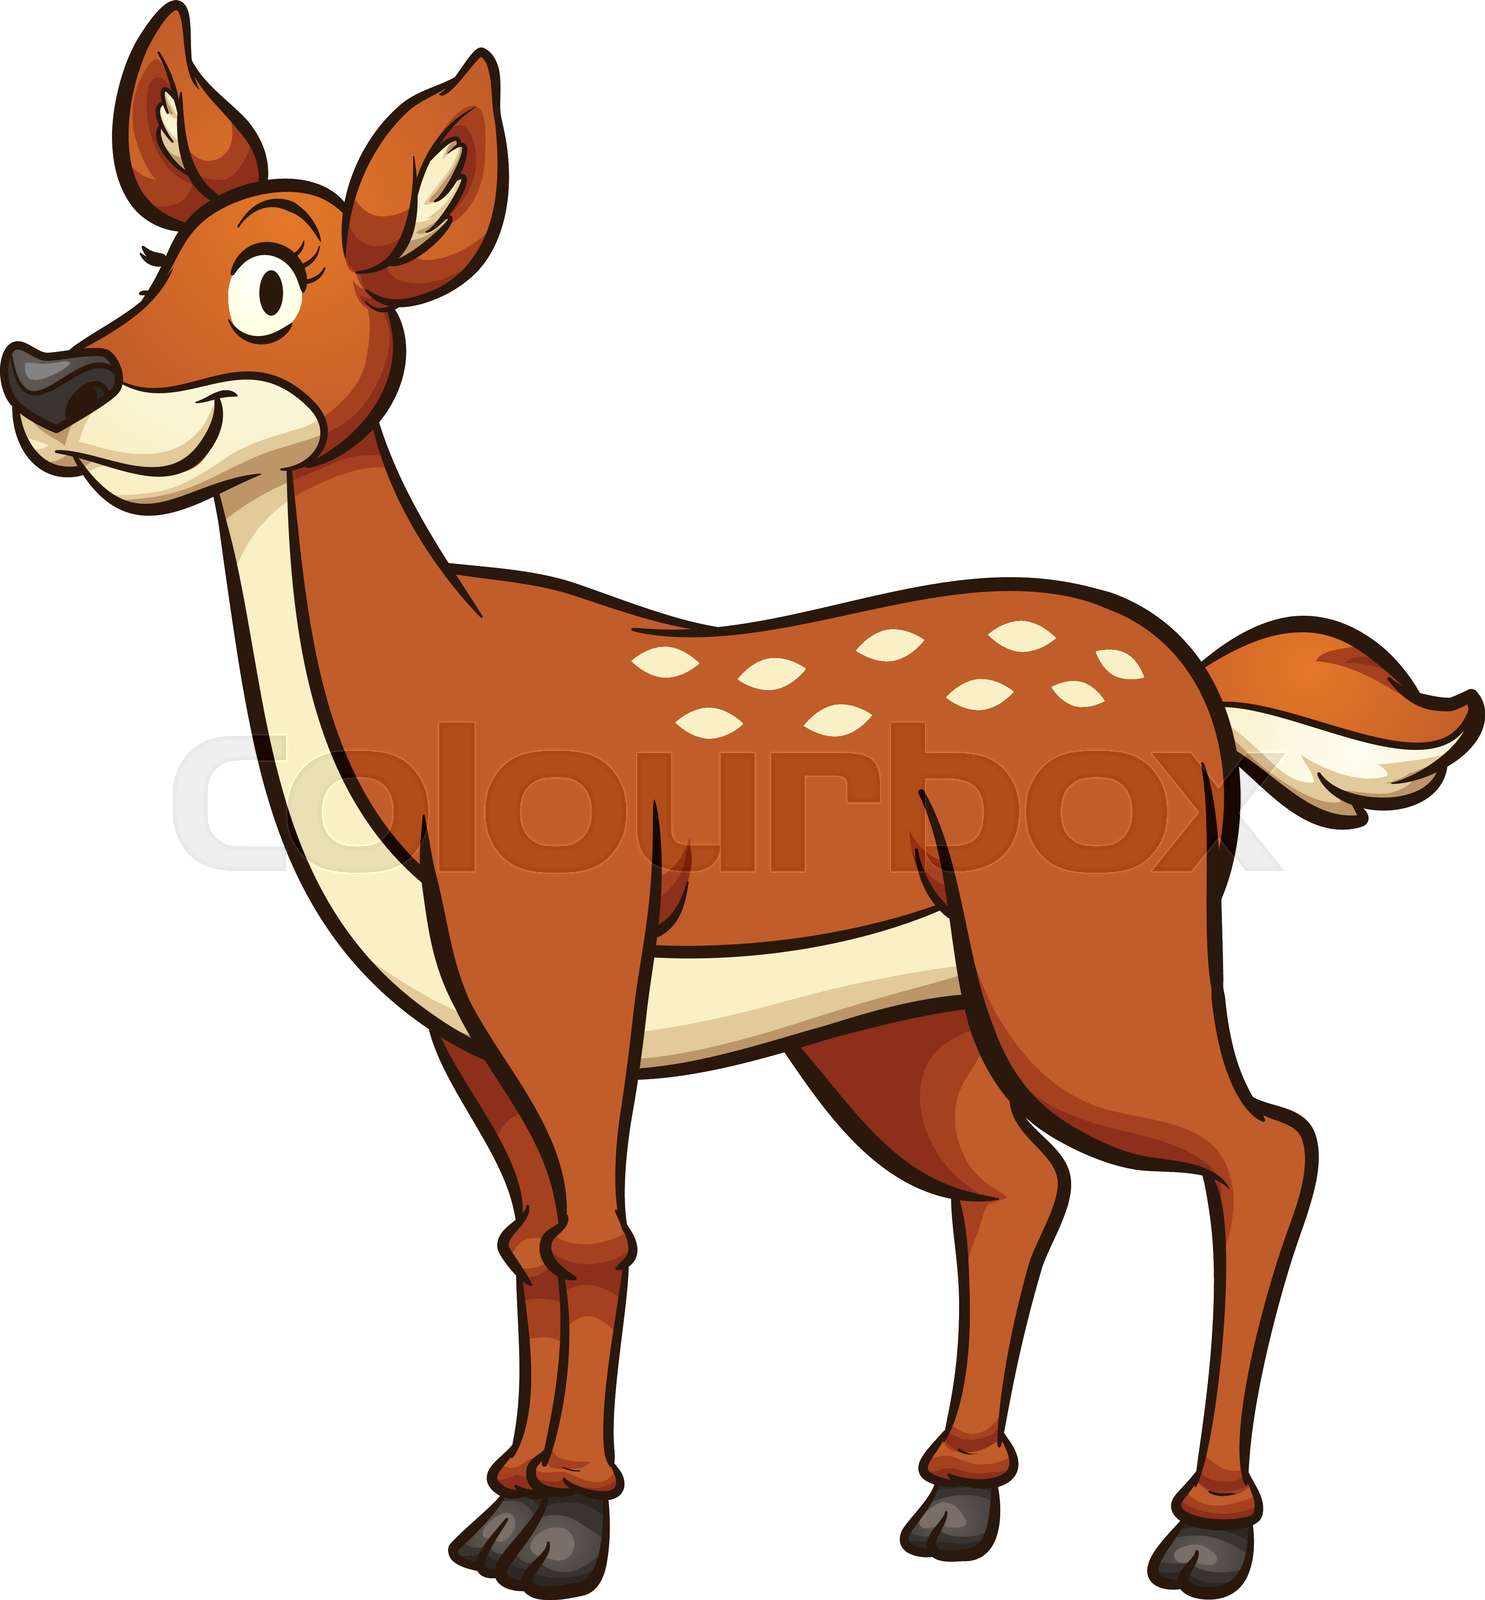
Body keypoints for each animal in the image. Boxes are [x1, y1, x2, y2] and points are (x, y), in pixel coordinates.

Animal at [3, 7, 1478, 1597]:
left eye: (273, 283)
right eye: (152, 259)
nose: (50, 377)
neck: (422, 725)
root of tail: (1201, 688)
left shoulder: (571, 957)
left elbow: (595, 1236)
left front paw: (566, 1527)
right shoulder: (462, 1021)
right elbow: (525, 1238)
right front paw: (493, 1504)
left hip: (1093, 956)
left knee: (1265, 1145)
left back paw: (1204, 1528)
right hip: (904, 1018)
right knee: (1018, 1183)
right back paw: (954, 1501)